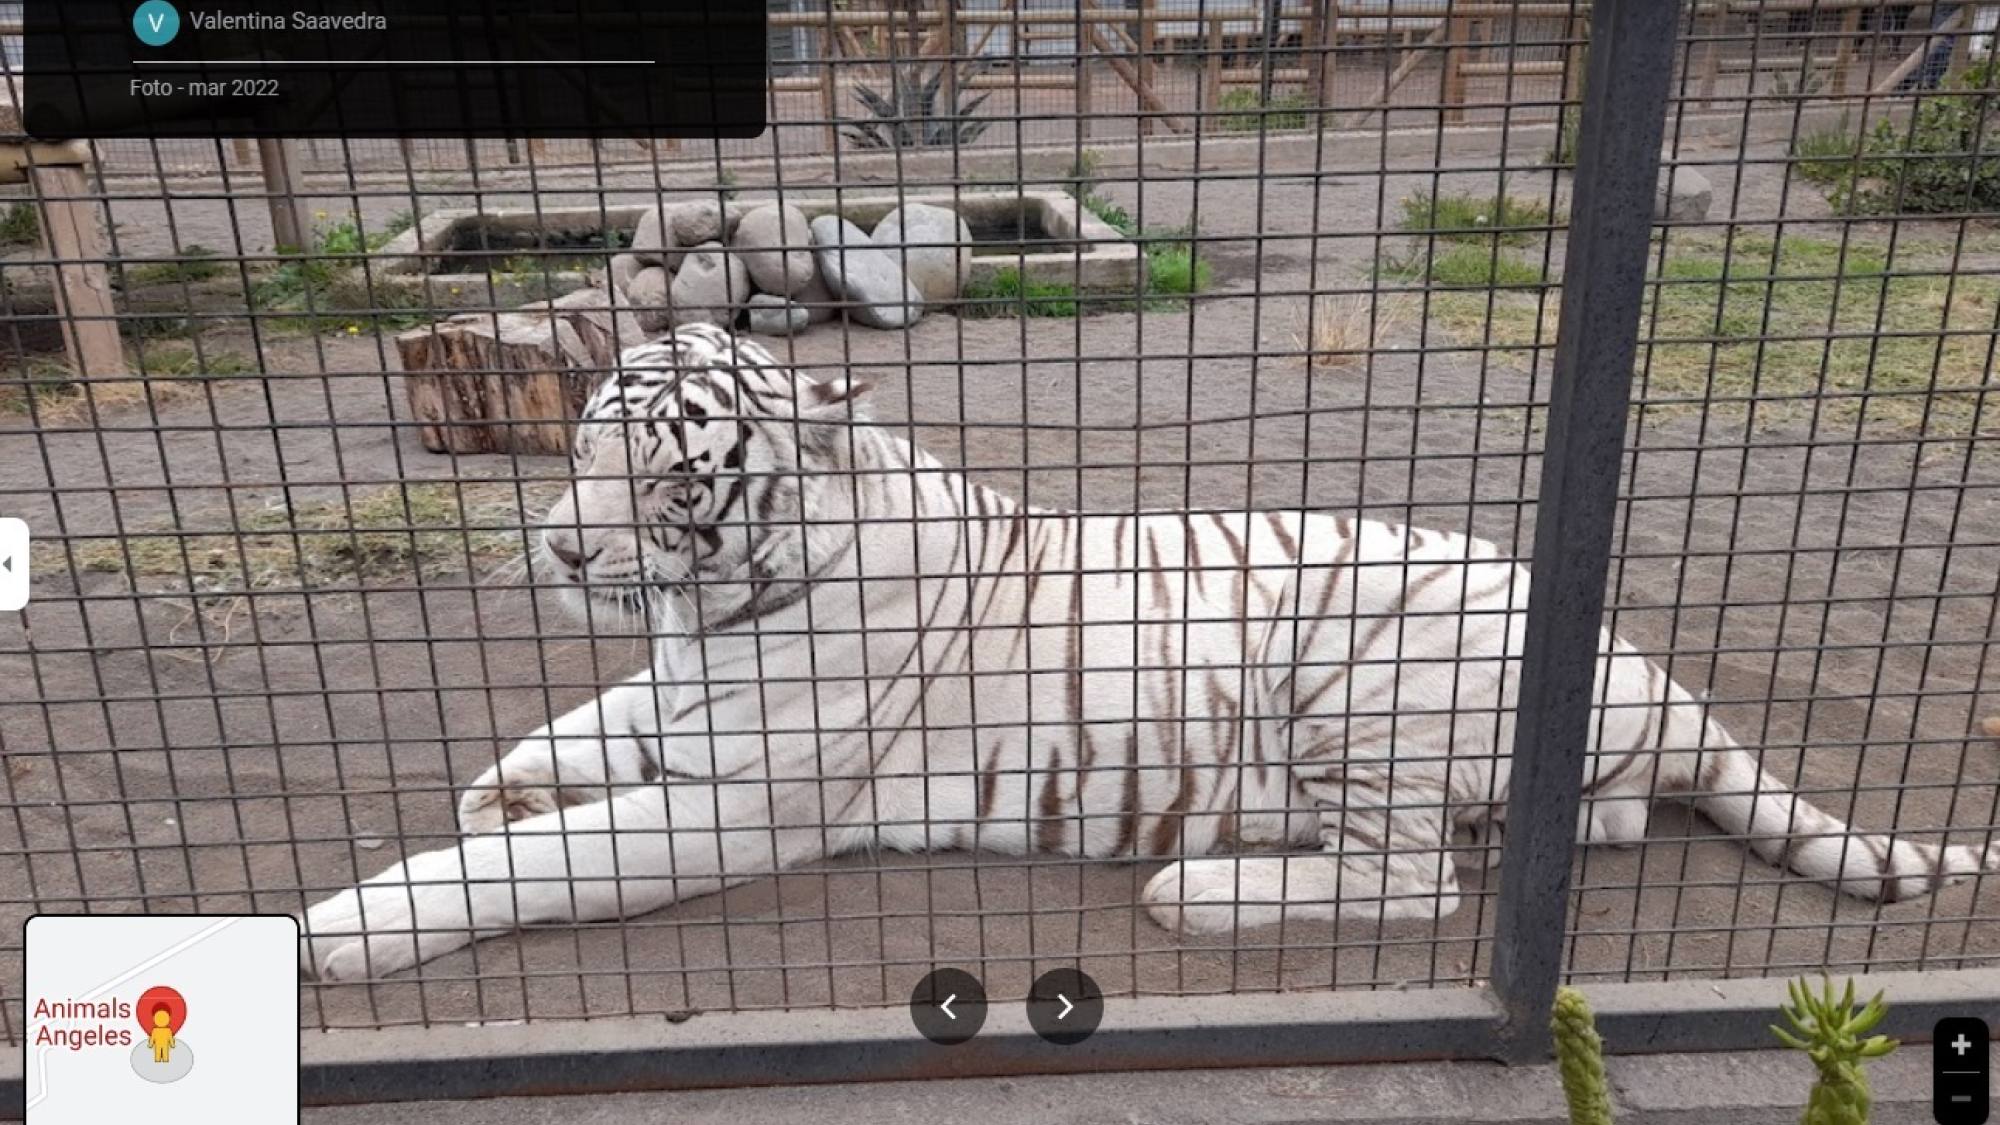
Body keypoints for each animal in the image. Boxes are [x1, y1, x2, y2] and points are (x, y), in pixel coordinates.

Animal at [299, 325, 1998, 981]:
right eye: (583, 441)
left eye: (669, 478)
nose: (562, 551)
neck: (717, 605)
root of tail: (1654, 675)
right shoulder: (675, 698)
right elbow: (577, 735)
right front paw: (506, 780)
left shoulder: (740, 804)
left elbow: (533, 864)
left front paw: (339, 929)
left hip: (1359, 680)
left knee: (1413, 877)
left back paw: (1210, 878)